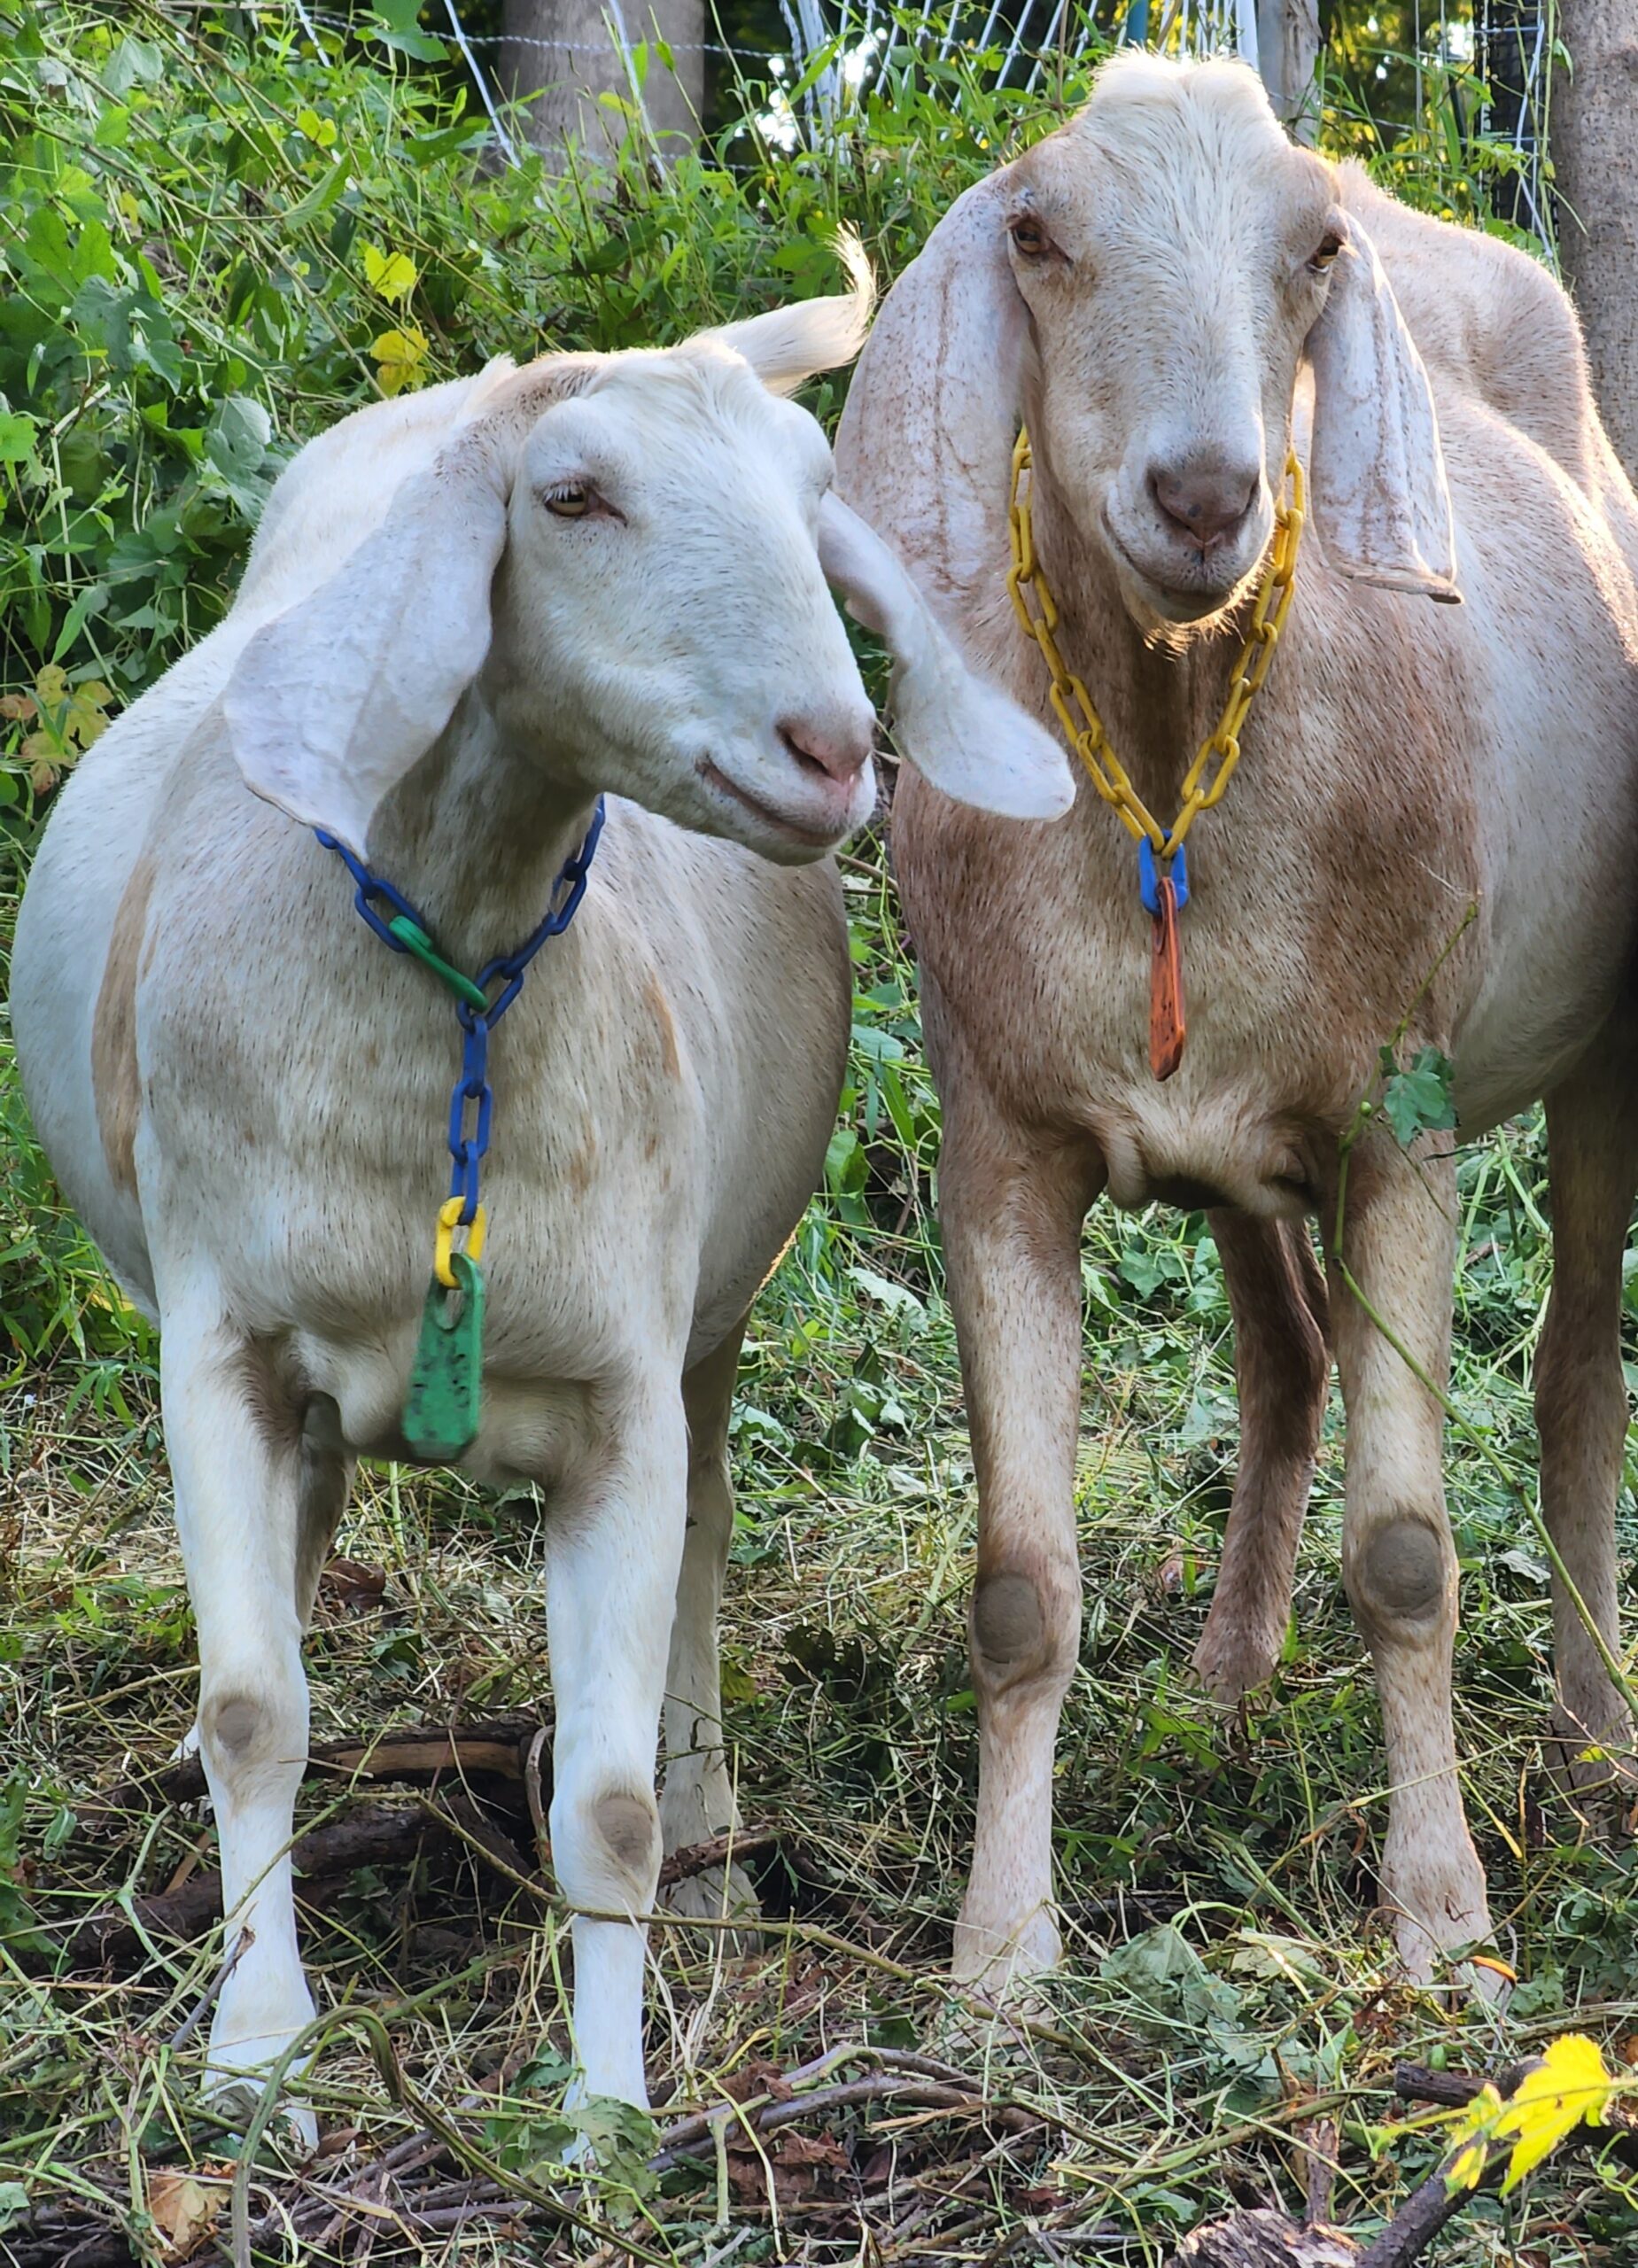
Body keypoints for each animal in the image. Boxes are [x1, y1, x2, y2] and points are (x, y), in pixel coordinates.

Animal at [11, 280, 1069, 2134]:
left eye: (815, 497)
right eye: (569, 499)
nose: (830, 751)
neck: (454, 983)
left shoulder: (621, 1395)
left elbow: (608, 1800)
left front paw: (605, 2111)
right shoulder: (215, 1343)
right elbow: (256, 1706)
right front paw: (256, 2052)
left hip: (709, 1328)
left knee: (699, 1567)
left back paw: (715, 1853)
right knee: (297, 1545)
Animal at [835, 51, 1638, 1996]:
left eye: (1311, 251)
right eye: (1037, 234)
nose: (1204, 494)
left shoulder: (1398, 1128)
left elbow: (1410, 1552)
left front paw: (1439, 1924)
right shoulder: (1003, 1145)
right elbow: (1019, 1588)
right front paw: (999, 1958)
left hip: (1589, 1055)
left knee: (1575, 1363)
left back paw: (1593, 1737)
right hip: (1234, 1148)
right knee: (1284, 1360)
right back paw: (1224, 1685)